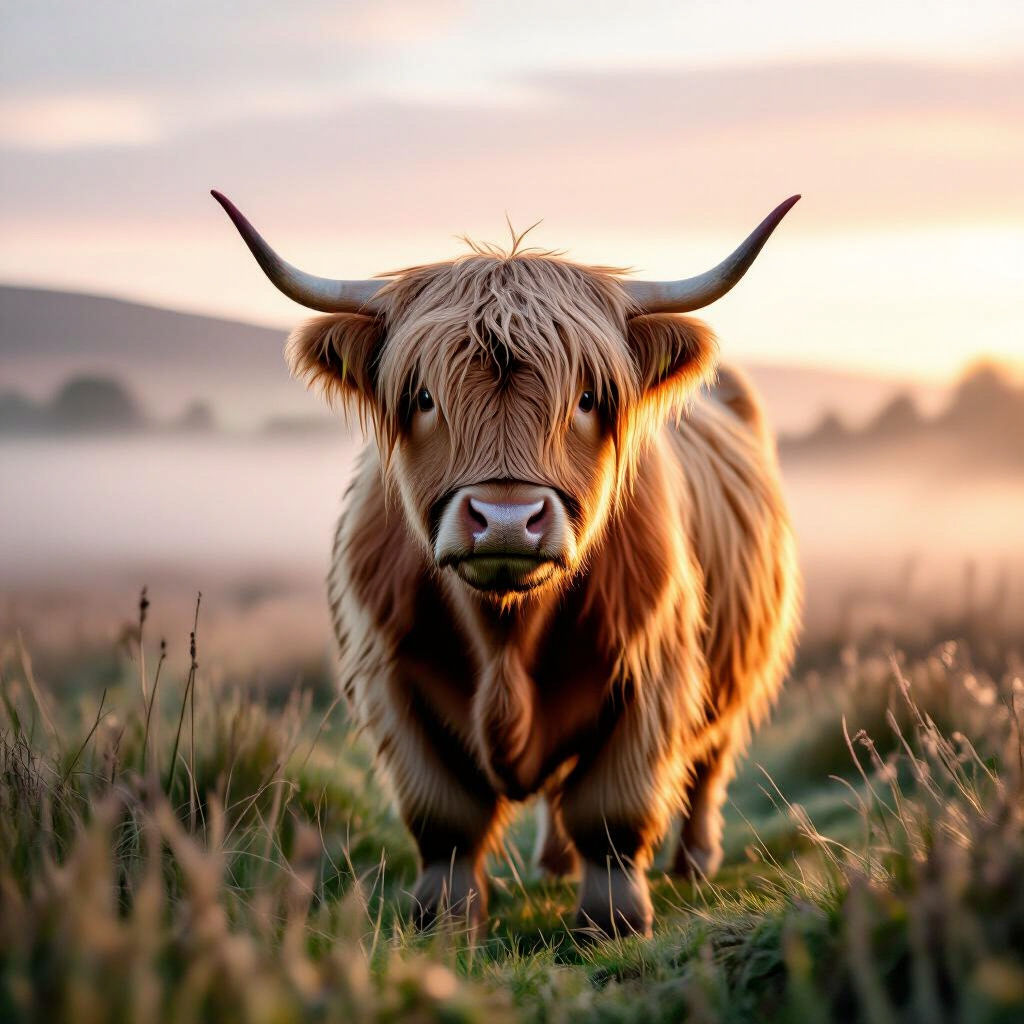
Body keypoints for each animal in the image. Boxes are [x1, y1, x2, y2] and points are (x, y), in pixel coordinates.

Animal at [214, 190, 802, 940]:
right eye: (424, 398)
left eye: (587, 398)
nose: (503, 518)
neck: (505, 635)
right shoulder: (391, 679)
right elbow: (444, 817)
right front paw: (443, 918)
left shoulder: (651, 673)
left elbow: (610, 810)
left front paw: (612, 922)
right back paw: (553, 865)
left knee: (707, 766)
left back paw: (693, 862)